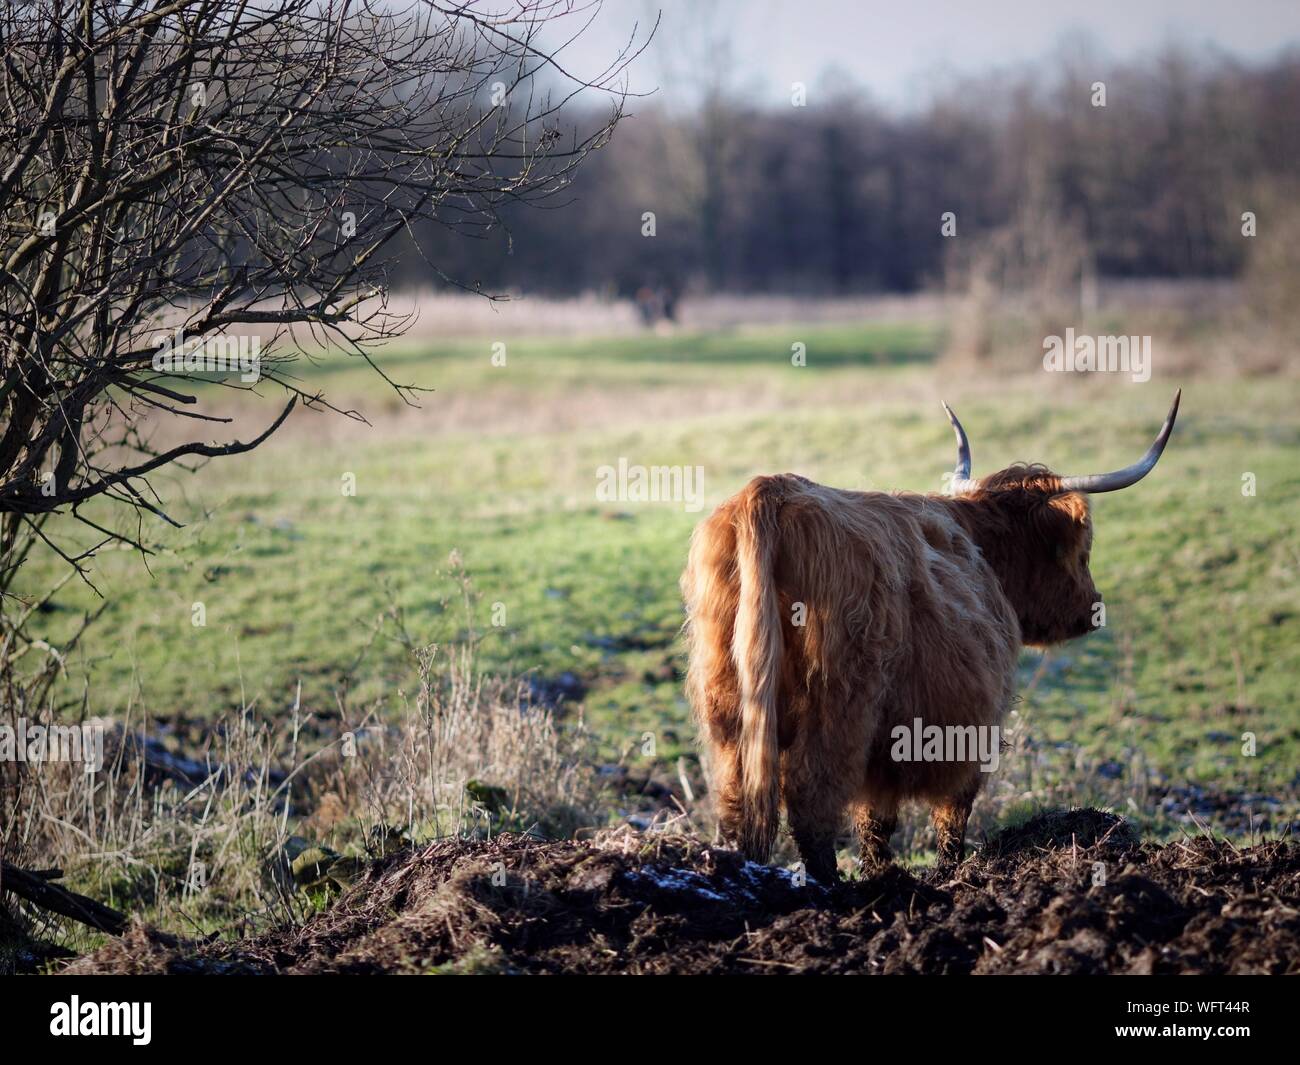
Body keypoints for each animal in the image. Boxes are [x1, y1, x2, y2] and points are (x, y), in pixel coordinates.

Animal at [680, 391, 1180, 883]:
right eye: (1082, 549)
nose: (1092, 608)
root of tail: (770, 490)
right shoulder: (970, 726)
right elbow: (946, 811)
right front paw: (947, 872)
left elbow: (875, 819)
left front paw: (882, 872)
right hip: (841, 706)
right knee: (813, 798)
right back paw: (830, 885)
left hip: (729, 705)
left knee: (737, 797)